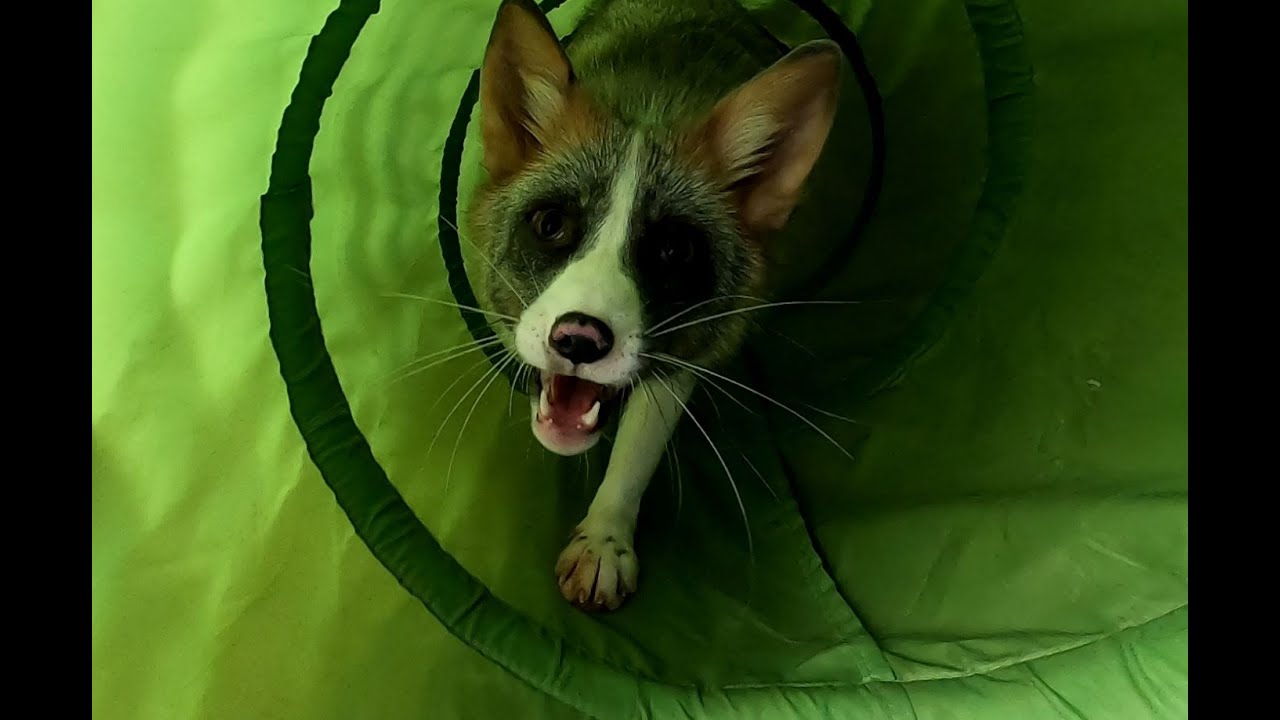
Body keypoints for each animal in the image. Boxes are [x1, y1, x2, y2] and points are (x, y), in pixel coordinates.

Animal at [465, 0, 843, 611]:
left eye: (672, 251)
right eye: (551, 224)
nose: (579, 339)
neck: (649, 101)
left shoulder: (688, 353)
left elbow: (639, 444)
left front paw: (605, 535)